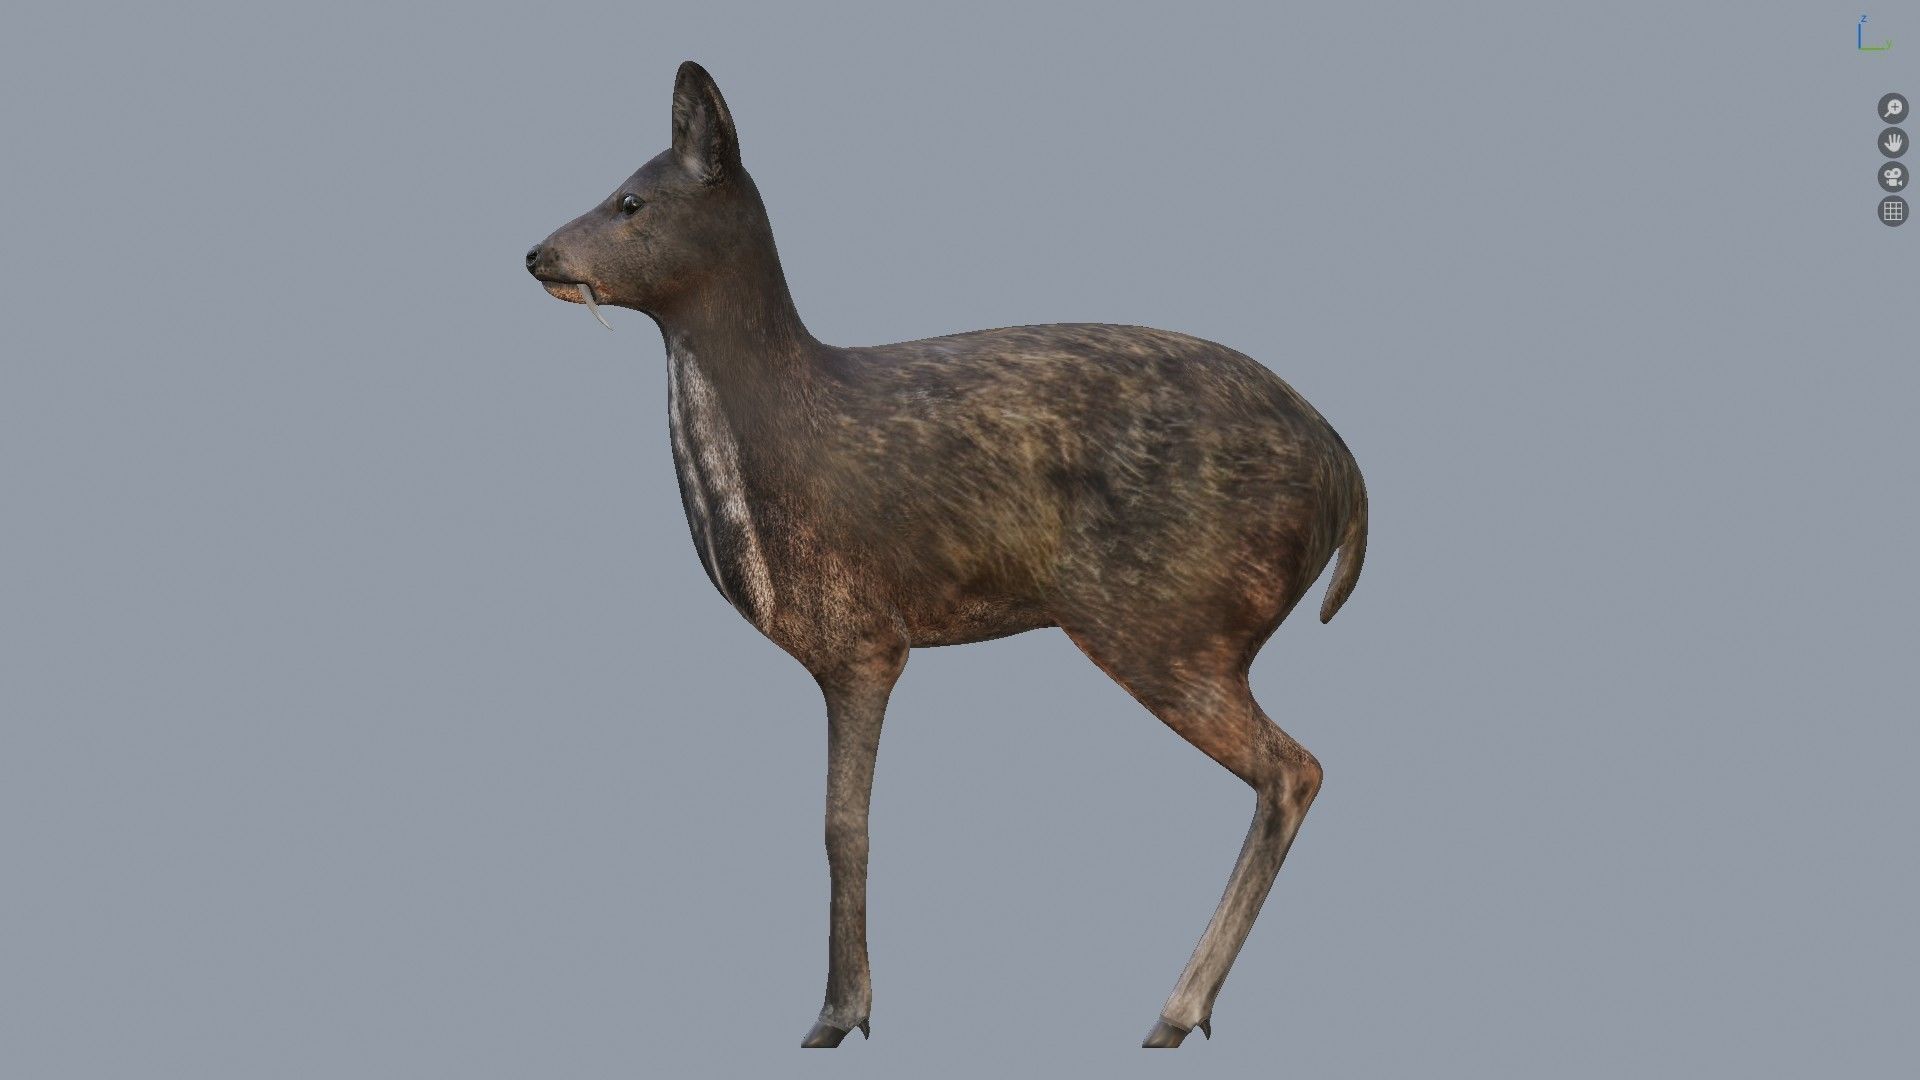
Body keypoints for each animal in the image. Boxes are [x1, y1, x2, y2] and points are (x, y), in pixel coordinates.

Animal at [524, 61, 1369, 1049]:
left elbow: (841, 825)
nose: (537, 255)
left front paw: (836, 1015)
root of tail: (1346, 477)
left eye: (632, 199)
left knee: (1294, 767)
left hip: (1174, 616)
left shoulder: (863, 636)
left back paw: (1172, 1011)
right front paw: (844, 1009)